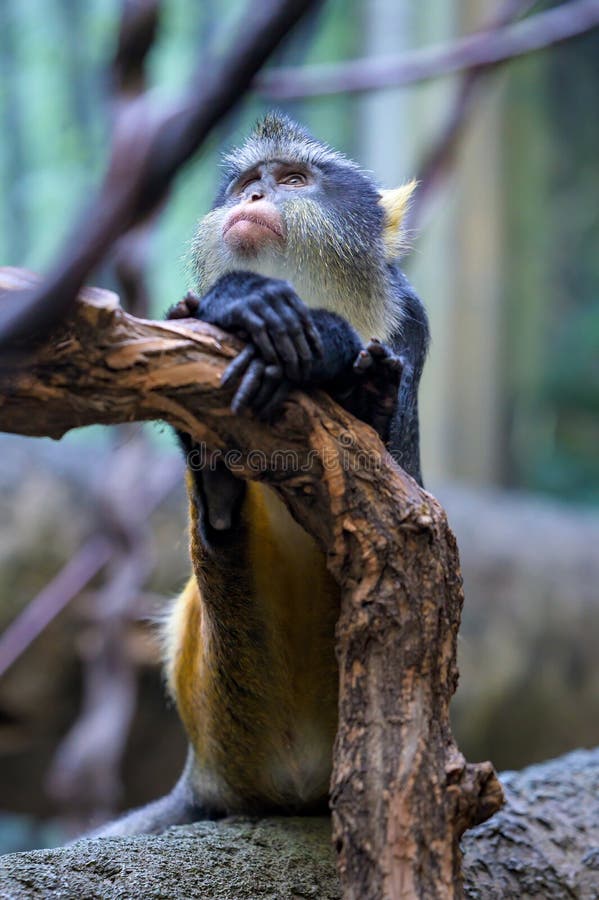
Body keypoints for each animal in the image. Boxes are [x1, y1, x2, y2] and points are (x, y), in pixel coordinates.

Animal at [87, 112, 429, 838]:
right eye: (249, 180)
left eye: (293, 180)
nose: (252, 198)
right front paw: (248, 305)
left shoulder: (410, 320)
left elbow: (411, 506)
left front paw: (330, 353)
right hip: (223, 711)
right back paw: (215, 484)